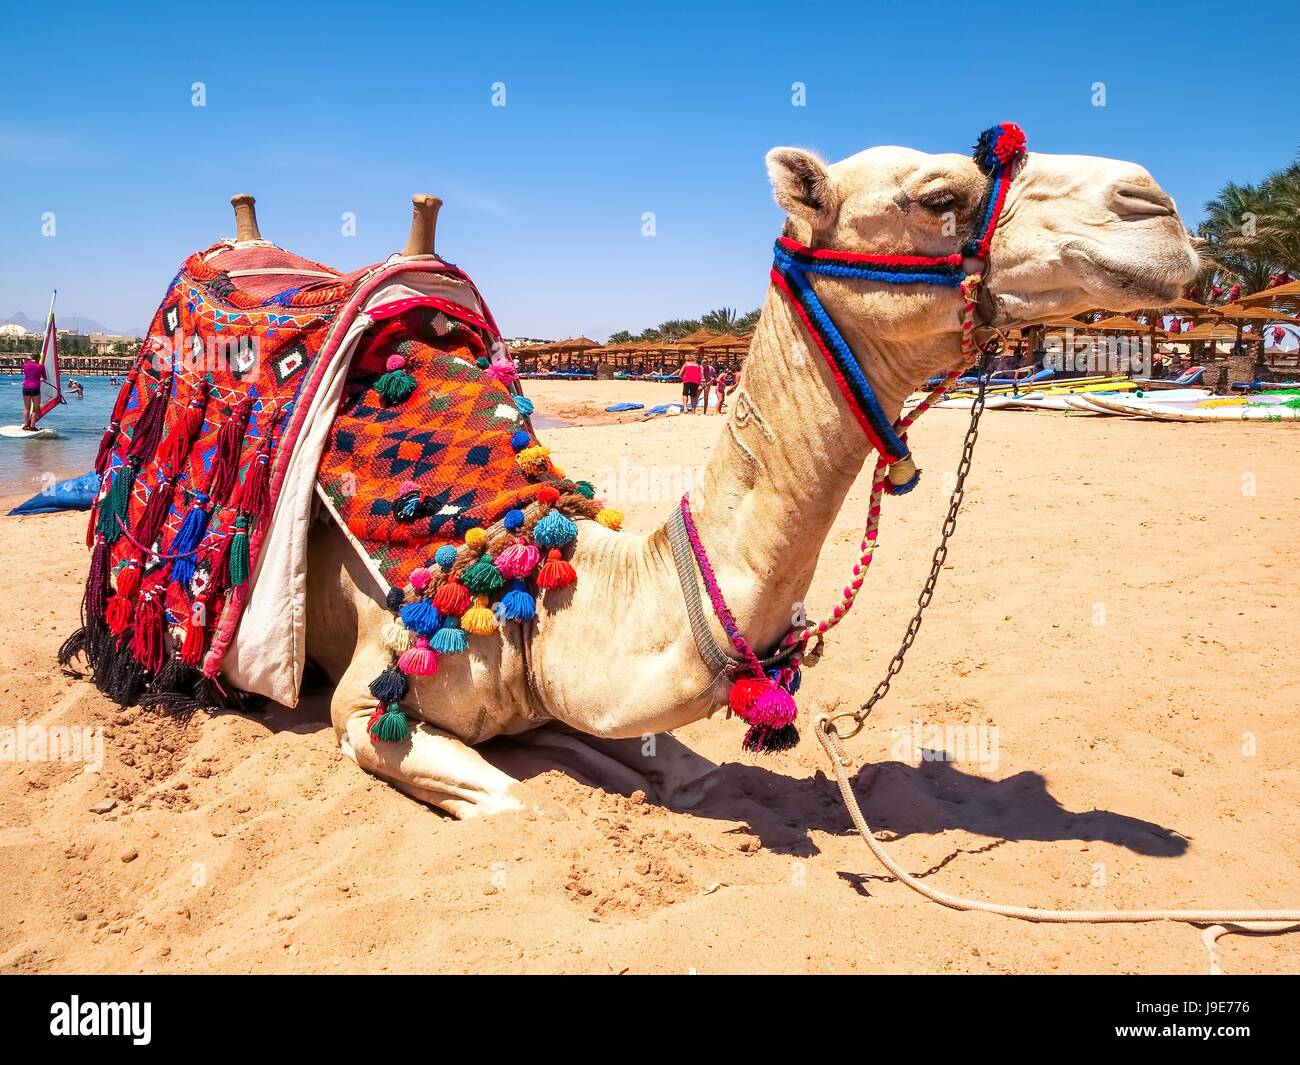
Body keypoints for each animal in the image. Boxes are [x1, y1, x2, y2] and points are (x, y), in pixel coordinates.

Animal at [289, 138, 1196, 818]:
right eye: (940, 195)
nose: (1154, 204)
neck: (535, 593)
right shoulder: (366, 705)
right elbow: (519, 801)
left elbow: (683, 774)